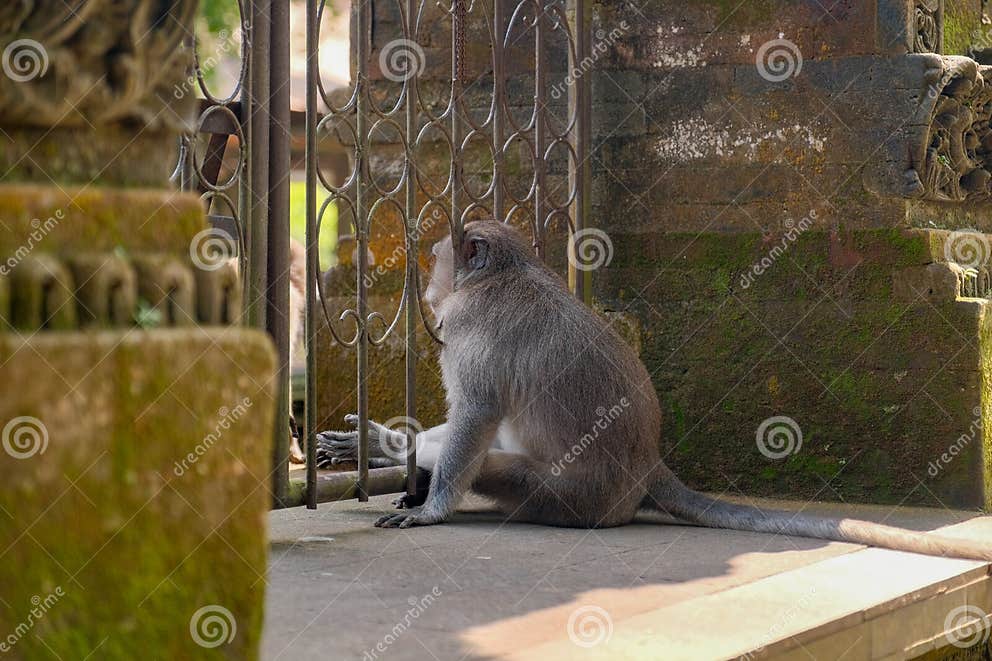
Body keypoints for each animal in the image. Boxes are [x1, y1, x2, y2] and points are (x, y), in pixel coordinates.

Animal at [317, 220, 992, 561]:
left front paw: (430, 506)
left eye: (439, 258)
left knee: (494, 464)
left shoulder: (467, 333)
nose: (430, 280)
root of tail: (648, 463)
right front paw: (379, 447)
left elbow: (475, 414)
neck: (502, 275)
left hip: (571, 498)